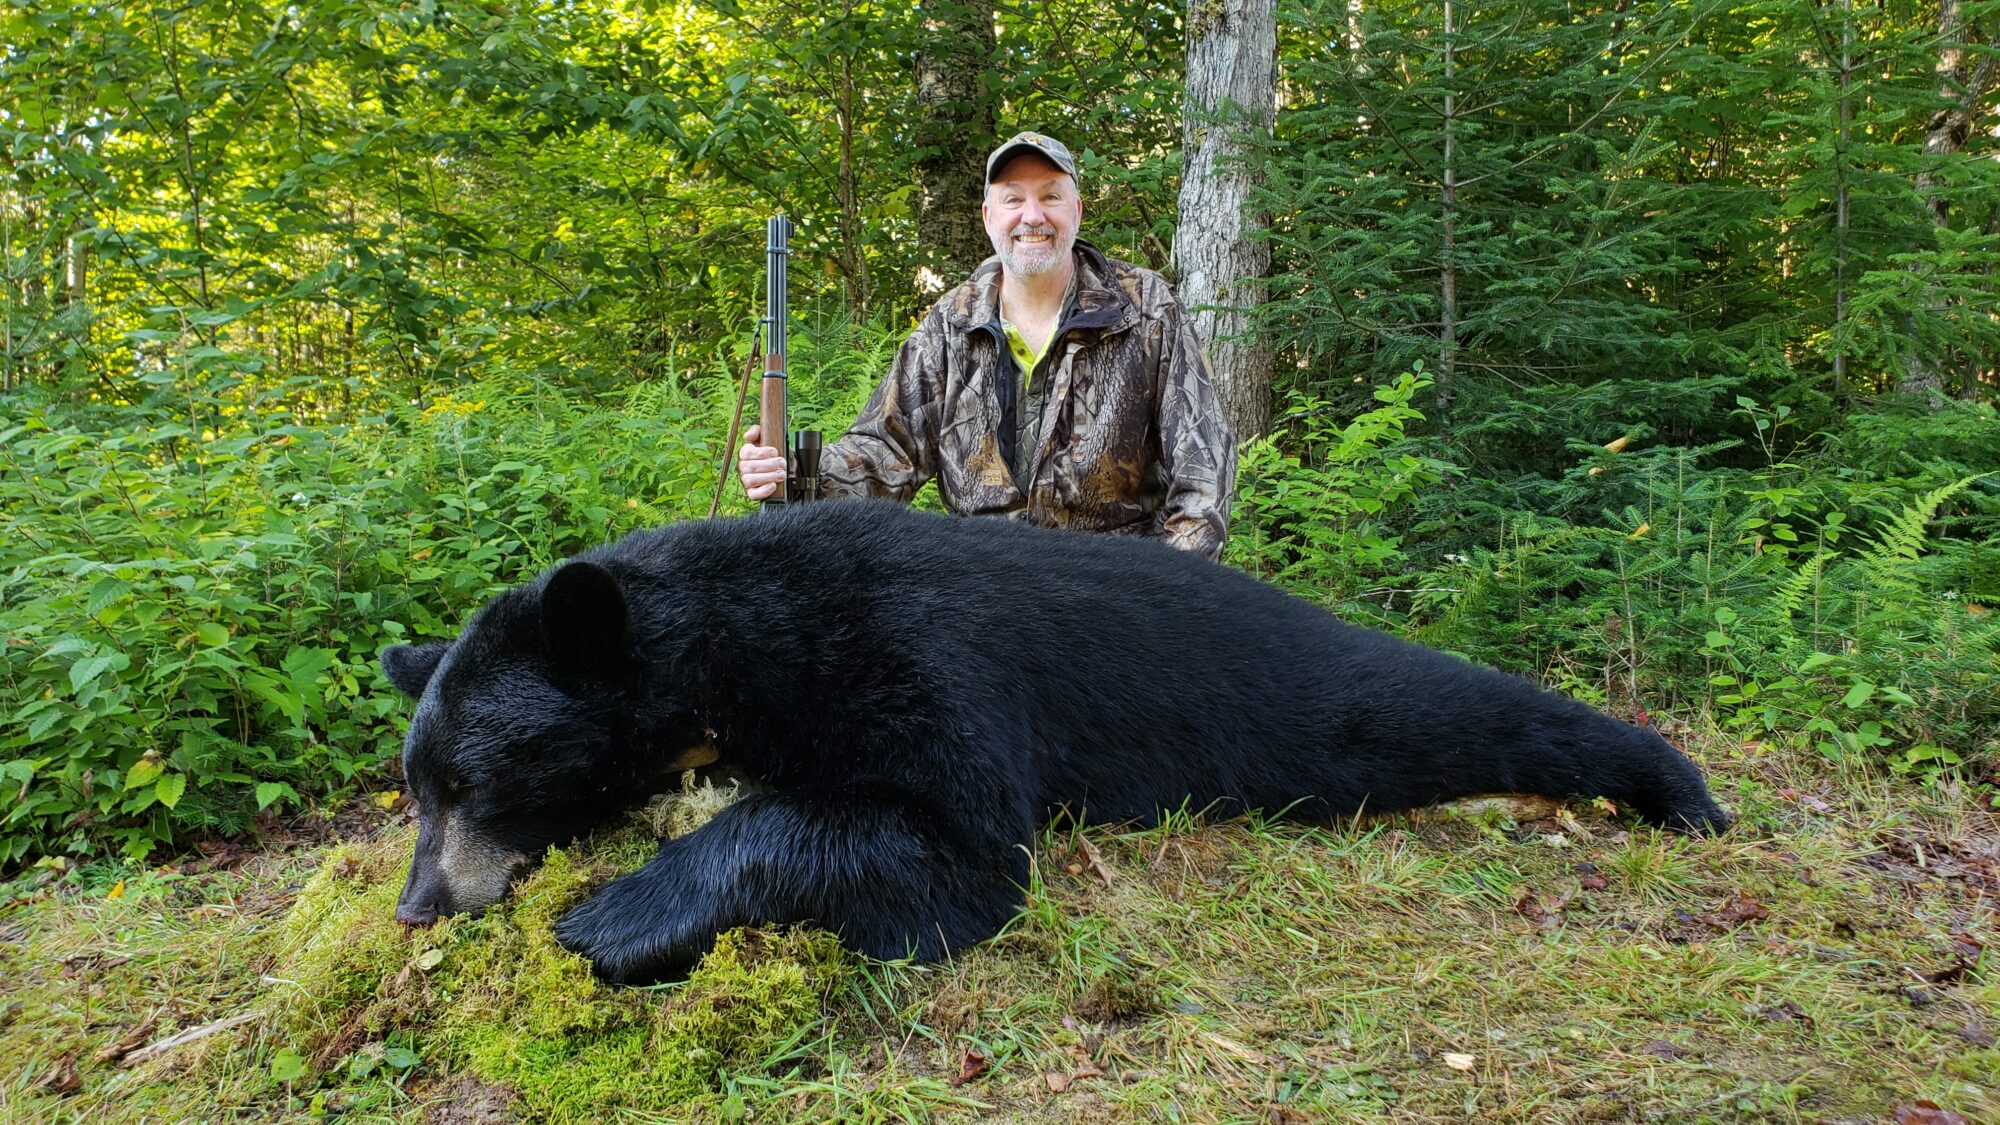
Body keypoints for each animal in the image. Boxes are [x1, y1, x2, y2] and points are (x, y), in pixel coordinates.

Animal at [380, 499, 1727, 984]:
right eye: (415, 789)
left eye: (471, 777)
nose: (418, 903)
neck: (733, 636)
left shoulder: (909, 649)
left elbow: (958, 850)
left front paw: (616, 916)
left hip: (1300, 691)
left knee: (1432, 704)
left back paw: (1674, 788)